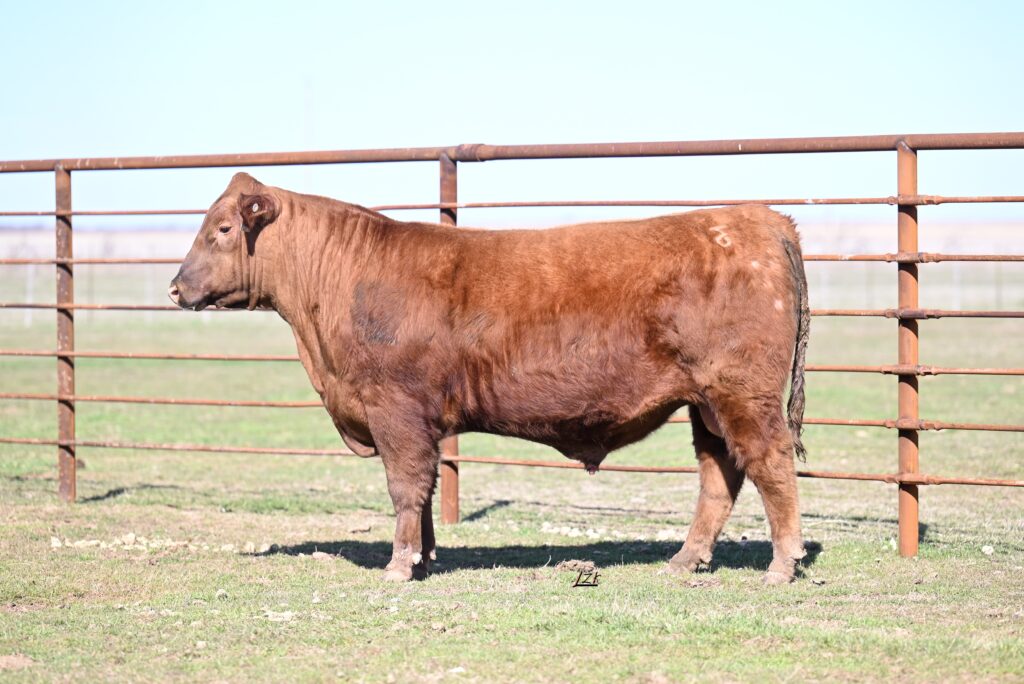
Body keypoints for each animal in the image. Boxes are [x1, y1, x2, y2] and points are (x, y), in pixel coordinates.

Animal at [169, 173, 810, 585]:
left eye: (222, 229)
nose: (175, 288)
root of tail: (758, 217)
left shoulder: (395, 410)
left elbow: (405, 486)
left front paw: (399, 565)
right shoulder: (420, 422)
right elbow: (426, 489)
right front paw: (424, 557)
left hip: (742, 394)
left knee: (770, 464)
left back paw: (782, 565)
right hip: (707, 403)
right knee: (719, 475)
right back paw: (685, 560)